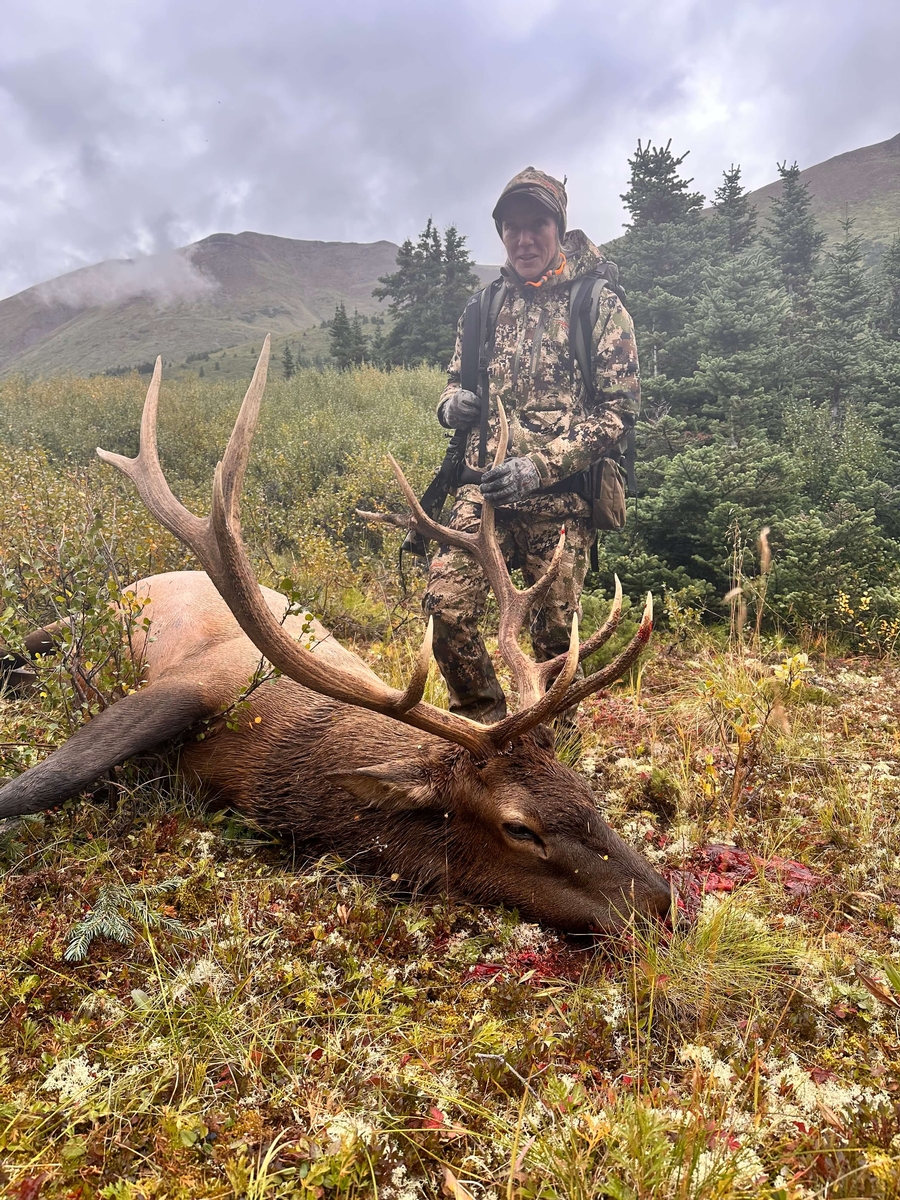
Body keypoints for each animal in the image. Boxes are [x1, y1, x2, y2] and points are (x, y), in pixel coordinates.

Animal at [0, 339, 670, 933]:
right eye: (520, 828)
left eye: (585, 794)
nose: (663, 899)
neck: (269, 760)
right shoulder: (192, 682)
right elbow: (43, 782)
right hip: (81, 618)